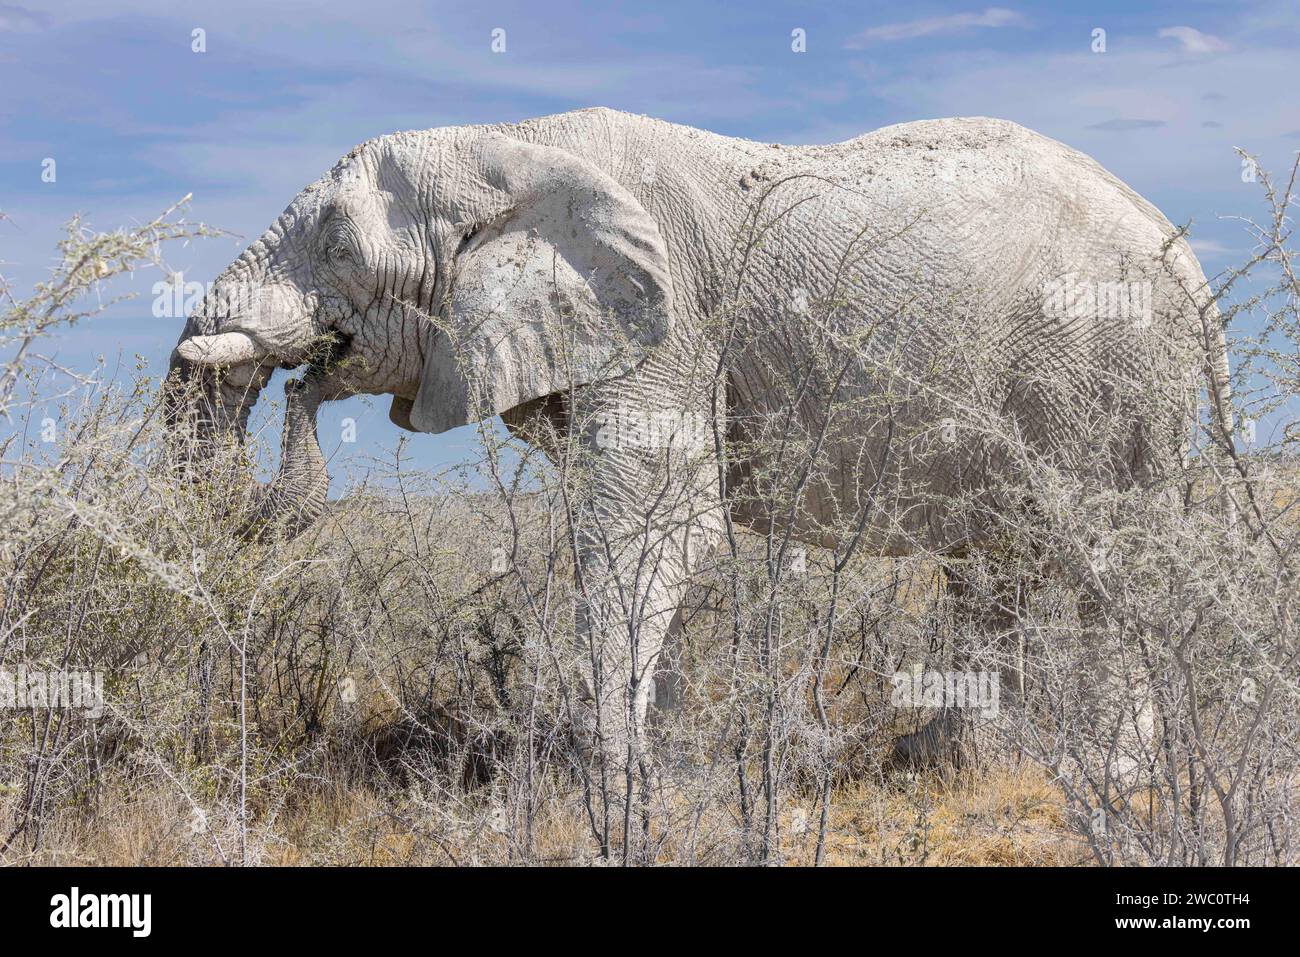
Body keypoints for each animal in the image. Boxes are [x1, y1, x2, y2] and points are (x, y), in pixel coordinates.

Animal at [166, 107, 1232, 790]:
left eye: (338, 244)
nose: (303, 384)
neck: (516, 144)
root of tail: (1188, 259)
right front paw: (665, 766)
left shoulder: (672, 322)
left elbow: (656, 527)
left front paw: (614, 785)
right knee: (997, 558)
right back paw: (947, 762)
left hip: (1106, 371)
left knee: (1107, 563)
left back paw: (1113, 776)